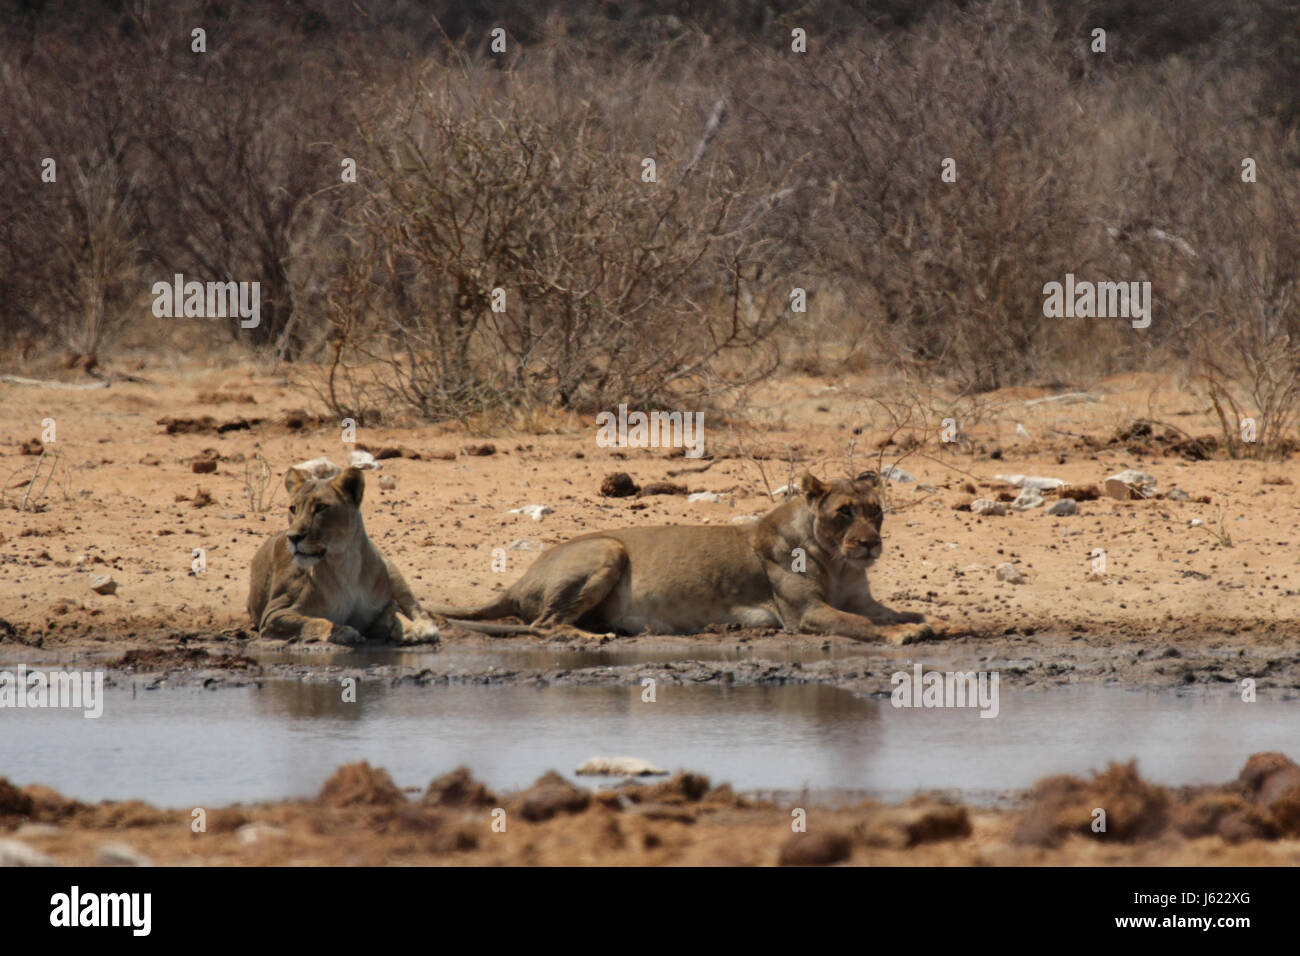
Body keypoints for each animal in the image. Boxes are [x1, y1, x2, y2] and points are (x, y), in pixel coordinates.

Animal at [247, 466, 440, 646]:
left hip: (391, 570)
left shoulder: (375, 615)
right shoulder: (274, 615)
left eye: (321, 507)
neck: (344, 564)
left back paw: (425, 628)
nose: (293, 537)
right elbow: (313, 622)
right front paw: (343, 631)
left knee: (413, 606)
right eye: (293, 508)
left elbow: (394, 613)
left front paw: (410, 628)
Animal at [435, 471, 932, 644]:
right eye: (843, 513)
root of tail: (516, 581)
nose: (870, 544)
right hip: (608, 548)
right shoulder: (806, 613)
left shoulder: (860, 598)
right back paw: (596, 638)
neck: (838, 561)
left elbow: (899, 612)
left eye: (875, 511)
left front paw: (933, 623)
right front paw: (903, 635)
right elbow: (861, 624)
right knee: (545, 624)